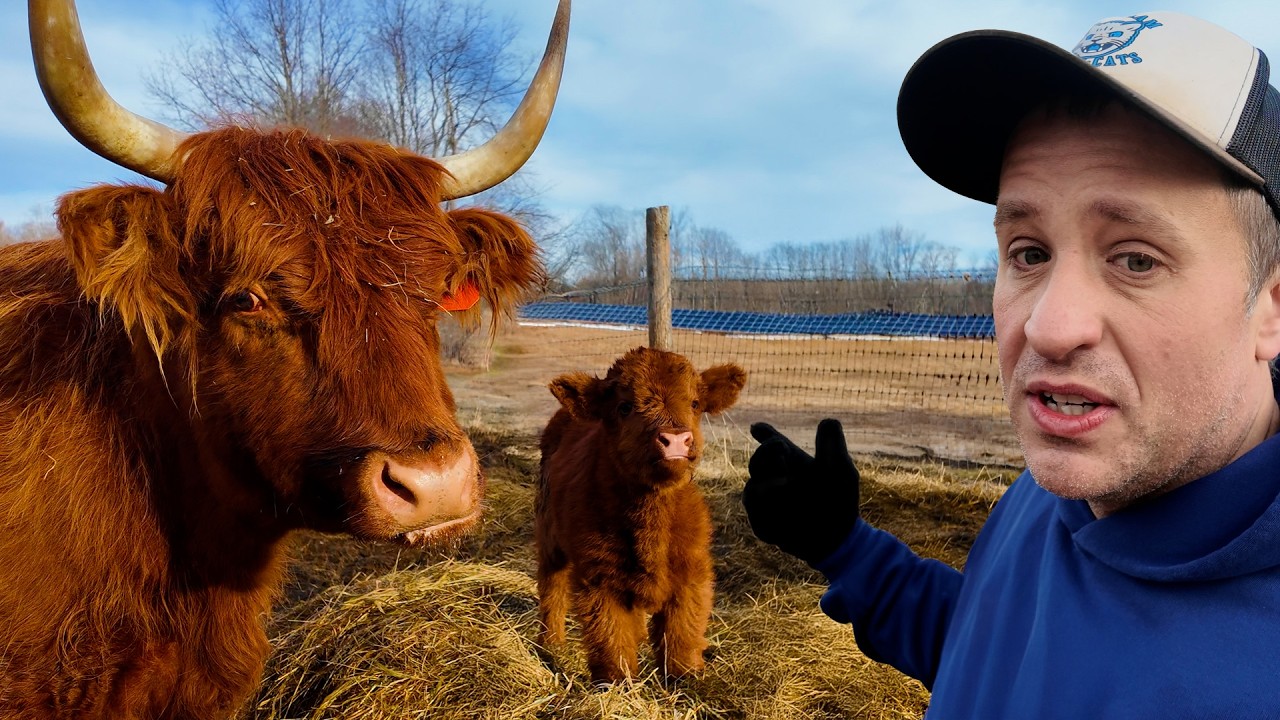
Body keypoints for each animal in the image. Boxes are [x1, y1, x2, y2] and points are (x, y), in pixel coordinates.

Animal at [535, 346, 747, 683]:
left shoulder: (692, 573)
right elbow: (611, 638)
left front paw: (687, 679)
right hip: (548, 534)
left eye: (695, 403)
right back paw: (551, 642)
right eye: (624, 407)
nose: (676, 440)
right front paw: (616, 684)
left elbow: (681, 636)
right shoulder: (600, 579)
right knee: (551, 586)